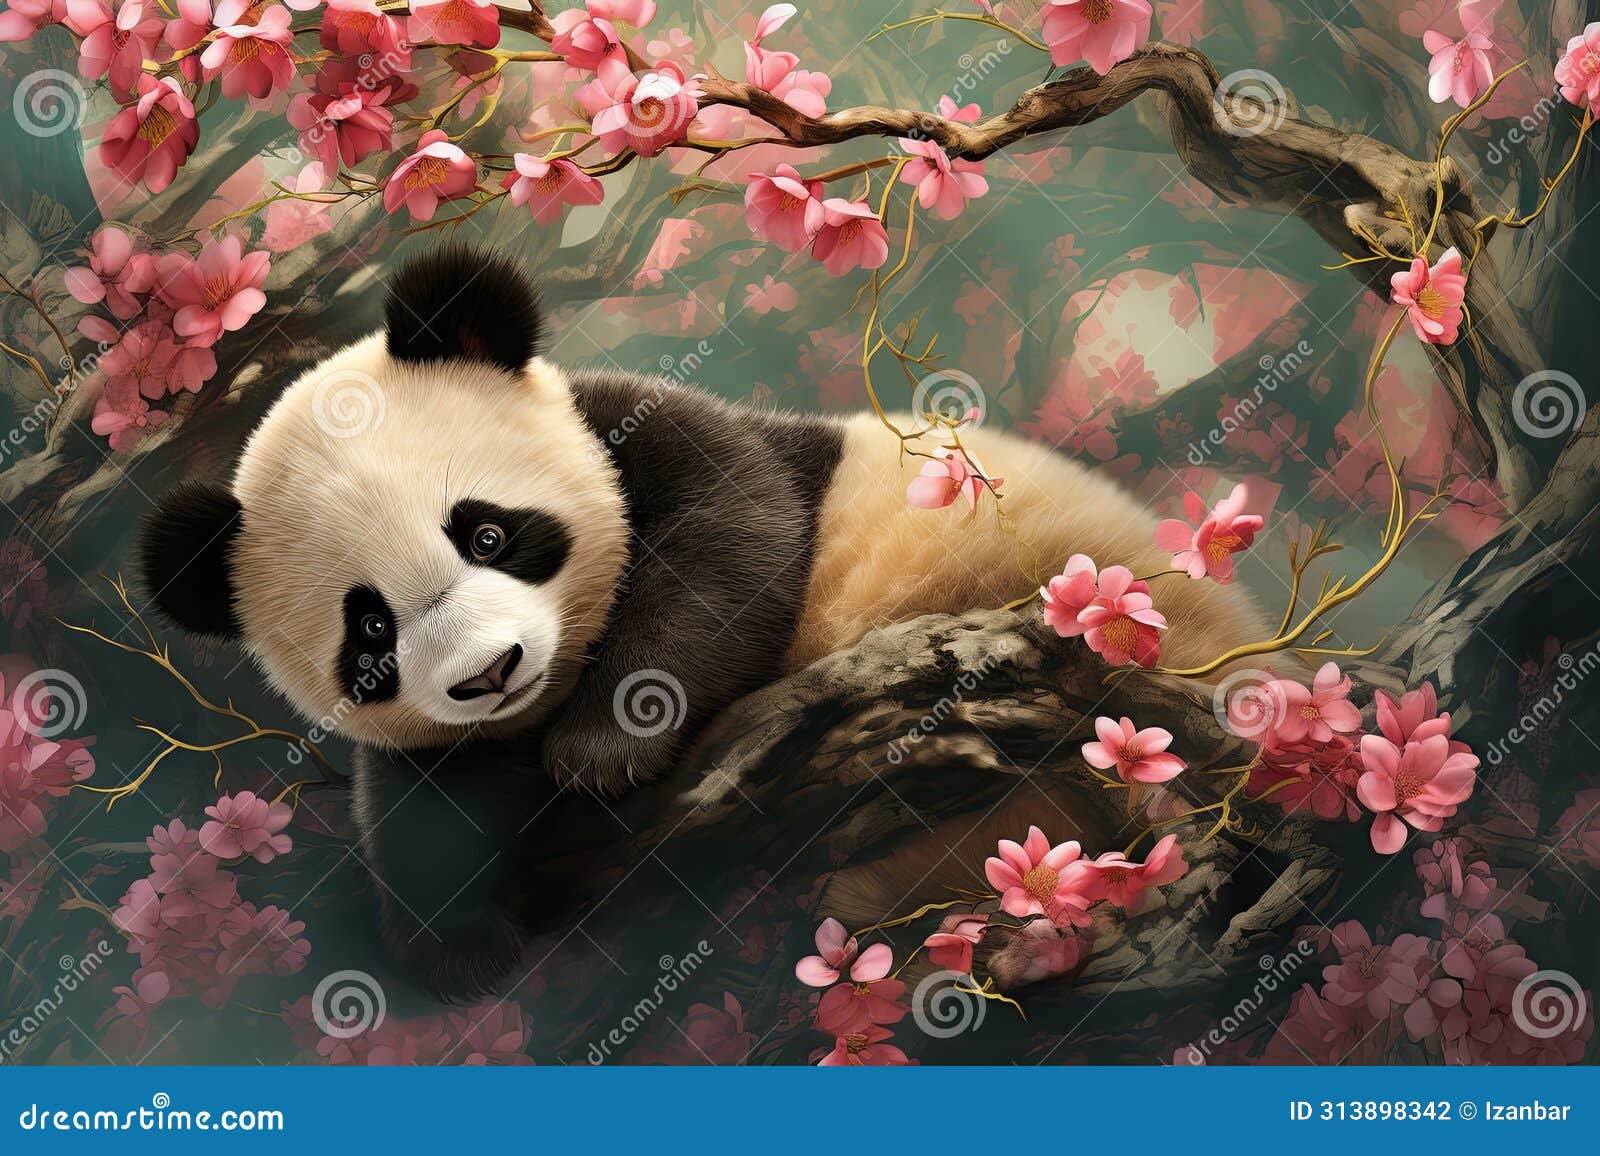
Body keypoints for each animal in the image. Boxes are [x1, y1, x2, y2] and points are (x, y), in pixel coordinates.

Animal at [138, 245, 1266, 998]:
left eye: (489, 533)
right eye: (369, 631)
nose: (491, 671)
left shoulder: (680, 438)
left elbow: (730, 542)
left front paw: (604, 748)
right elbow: (424, 795)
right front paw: (452, 937)